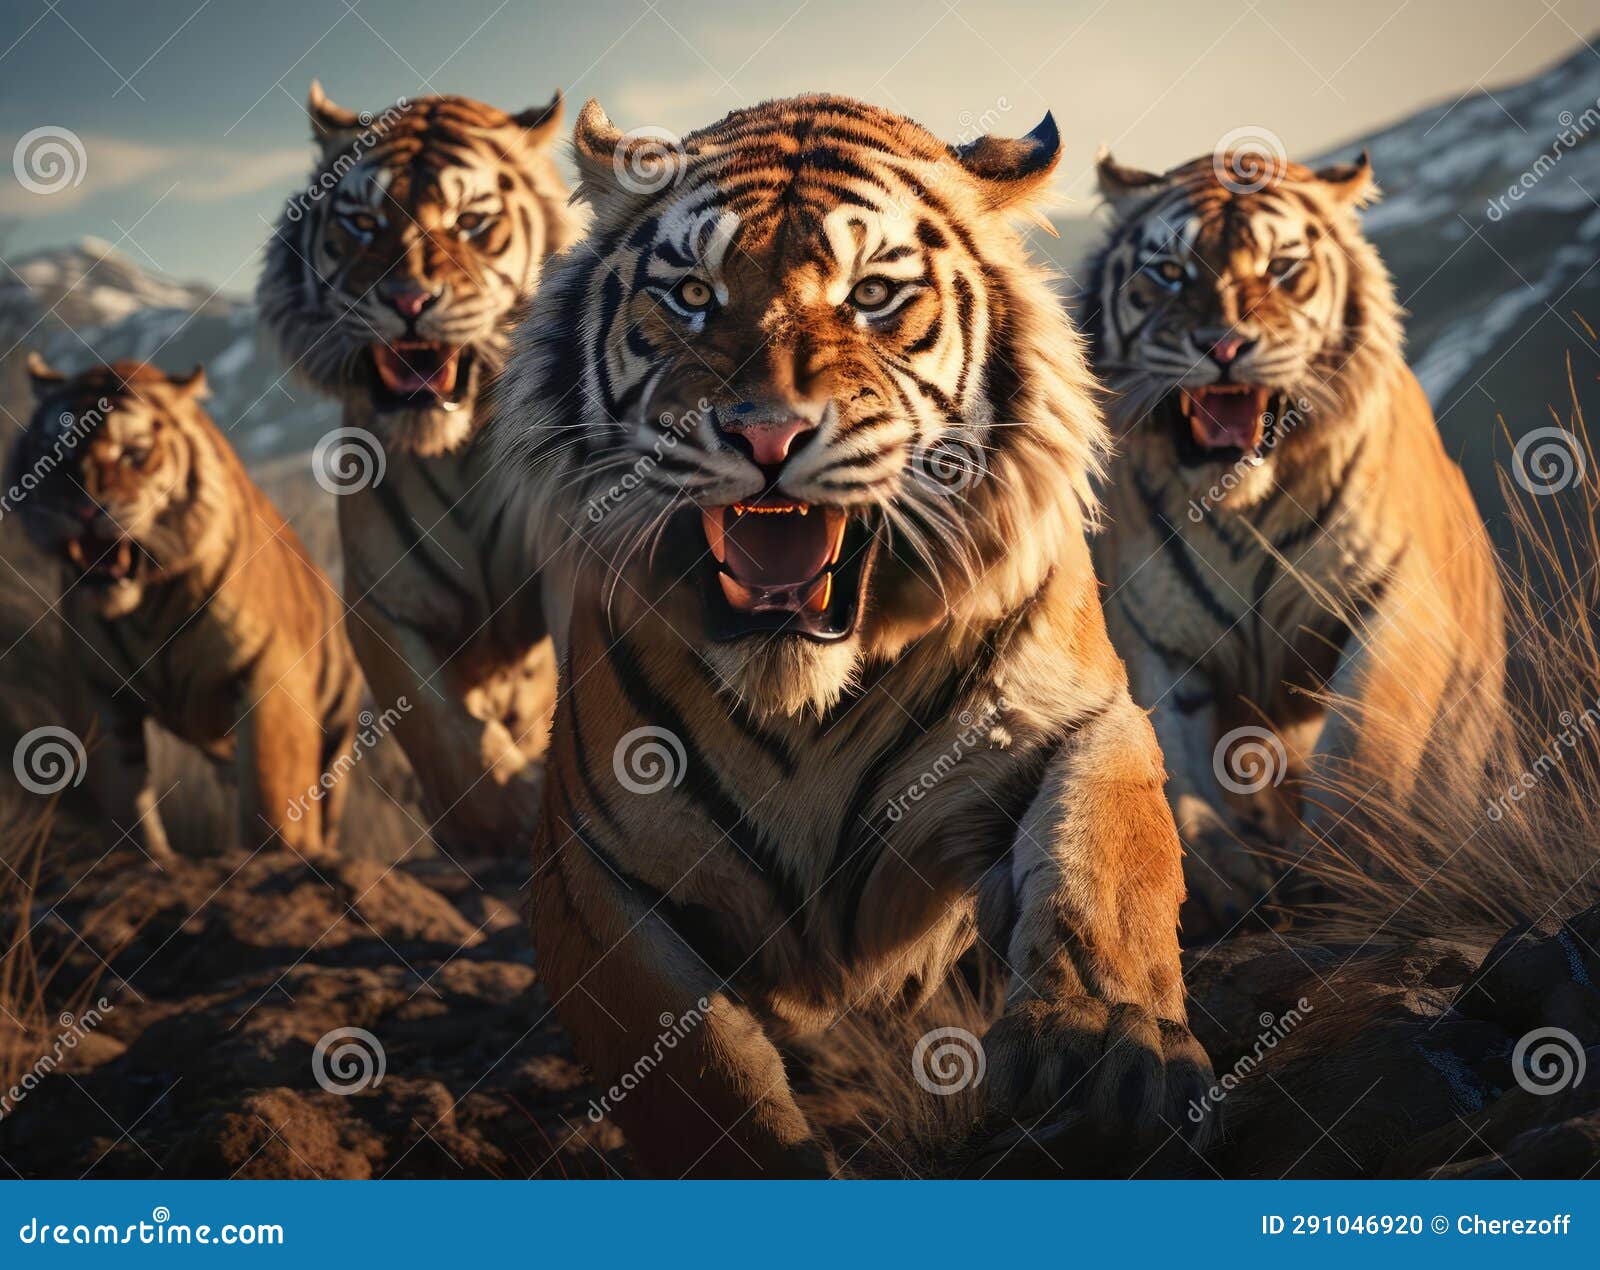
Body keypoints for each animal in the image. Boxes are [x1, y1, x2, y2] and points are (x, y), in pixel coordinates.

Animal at [8, 356, 361, 860]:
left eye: (133, 452)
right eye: (55, 449)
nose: (83, 506)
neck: (147, 604)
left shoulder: (268, 680)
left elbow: (274, 810)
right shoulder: (97, 688)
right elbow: (125, 802)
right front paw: (153, 859)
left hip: (334, 727)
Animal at [257, 84, 575, 855]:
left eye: (470, 222)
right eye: (364, 222)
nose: (406, 301)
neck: (460, 452)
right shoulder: (382, 601)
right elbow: (440, 730)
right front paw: (504, 810)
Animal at [492, 94, 1215, 1177]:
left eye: (872, 293)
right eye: (693, 294)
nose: (764, 434)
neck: (800, 698)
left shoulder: (1083, 721)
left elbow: (1103, 865)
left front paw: (1104, 1058)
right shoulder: (584, 863)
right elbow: (694, 1068)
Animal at [1081, 148, 1506, 937]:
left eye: (1282, 267)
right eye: (1170, 271)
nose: (1222, 346)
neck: (1238, 510)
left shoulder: (1393, 598)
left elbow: (1365, 743)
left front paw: (1342, 869)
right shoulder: (1157, 644)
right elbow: (1175, 775)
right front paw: (1225, 882)